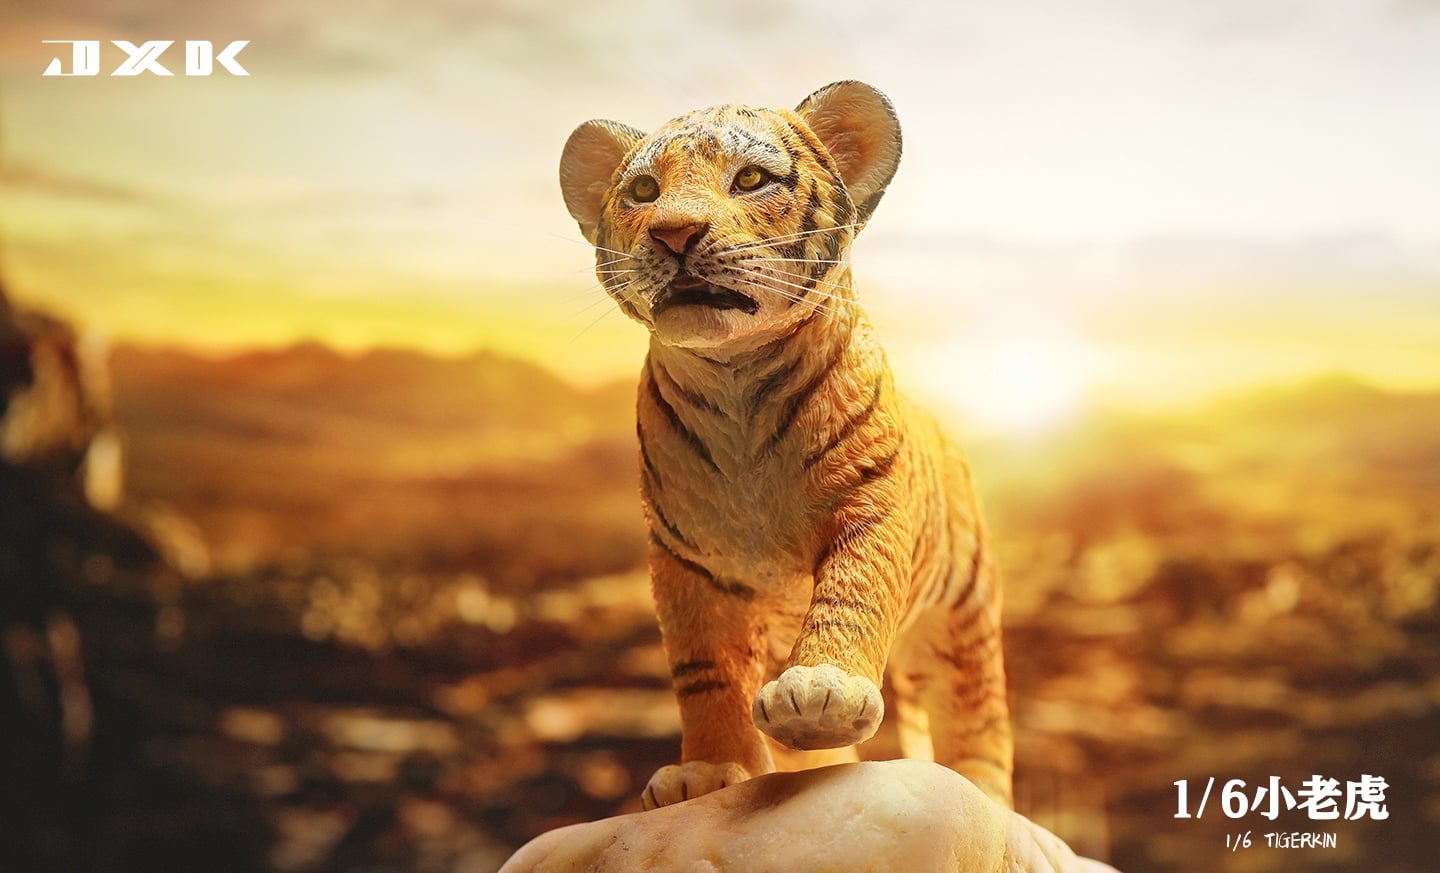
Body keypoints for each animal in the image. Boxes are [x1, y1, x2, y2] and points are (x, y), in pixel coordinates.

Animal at [558, 80, 1013, 811]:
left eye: (750, 179)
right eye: (644, 190)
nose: (673, 232)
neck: (735, 378)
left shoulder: (871, 503)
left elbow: (853, 594)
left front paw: (823, 694)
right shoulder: (685, 559)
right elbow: (704, 670)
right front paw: (707, 770)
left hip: (961, 621)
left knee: (978, 713)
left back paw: (982, 790)